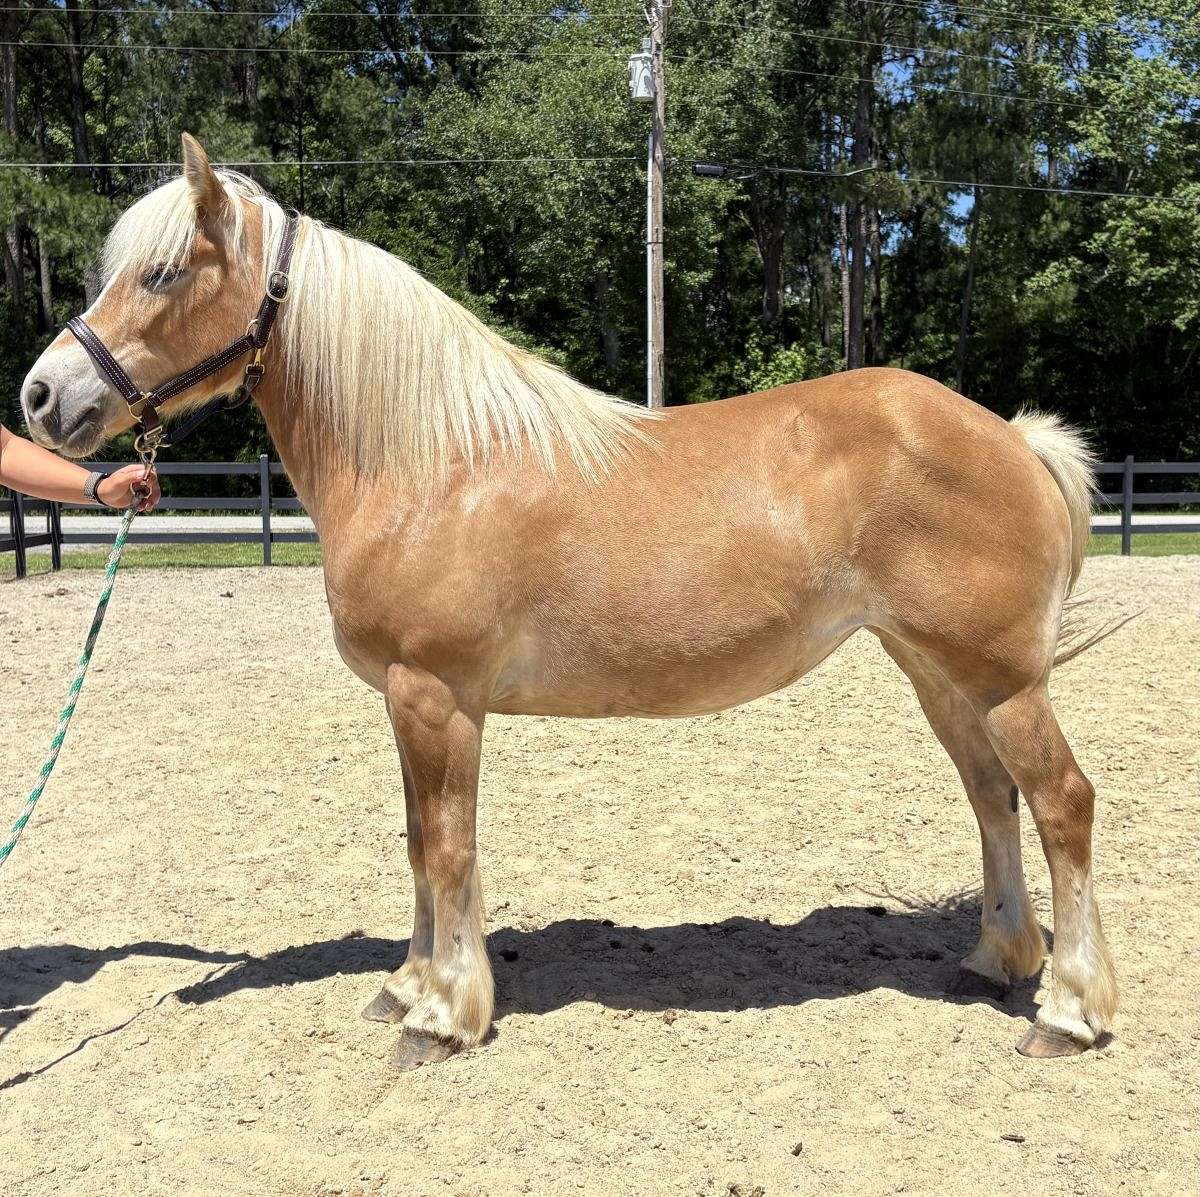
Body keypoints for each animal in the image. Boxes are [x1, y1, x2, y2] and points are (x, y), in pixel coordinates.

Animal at [20, 134, 1118, 1069]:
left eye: (163, 274)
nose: (41, 396)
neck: (430, 461)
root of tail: (1012, 437)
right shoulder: (413, 702)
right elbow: (419, 843)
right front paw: (409, 983)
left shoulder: (435, 694)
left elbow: (445, 844)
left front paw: (442, 1015)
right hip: (938, 672)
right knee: (992, 796)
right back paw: (999, 961)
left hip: (999, 680)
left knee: (1062, 802)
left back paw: (1069, 1010)